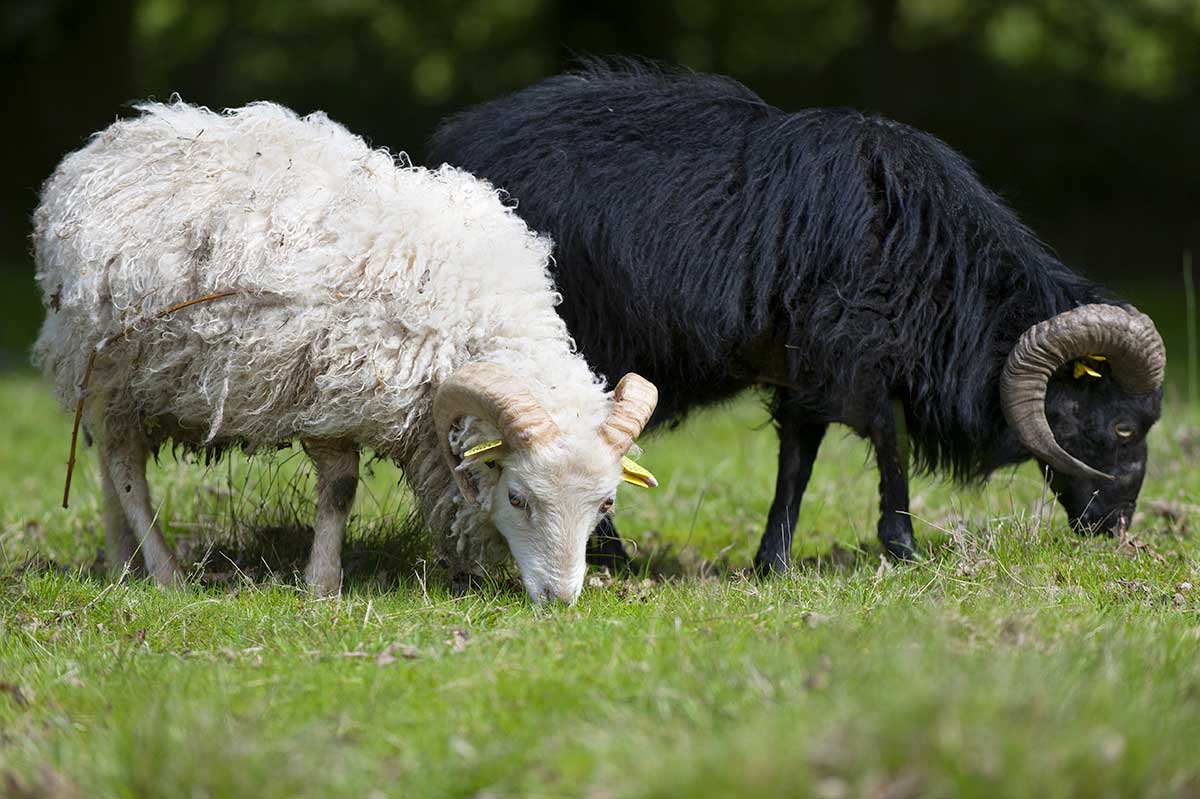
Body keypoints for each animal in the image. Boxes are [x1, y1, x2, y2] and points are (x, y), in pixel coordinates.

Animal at [32, 99, 662, 599]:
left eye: (605, 505)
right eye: (517, 497)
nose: (561, 598)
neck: (470, 309)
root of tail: (101, 149)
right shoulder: (328, 392)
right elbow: (339, 489)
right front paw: (323, 584)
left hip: (124, 386)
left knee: (111, 468)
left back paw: (124, 562)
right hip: (109, 366)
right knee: (126, 472)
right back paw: (165, 572)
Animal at [429, 62, 1161, 568]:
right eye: (1122, 428)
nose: (1116, 528)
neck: (943, 277)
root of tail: (452, 149)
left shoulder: (805, 362)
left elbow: (798, 458)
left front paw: (772, 562)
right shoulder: (852, 352)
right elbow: (887, 439)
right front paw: (902, 545)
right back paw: (610, 555)